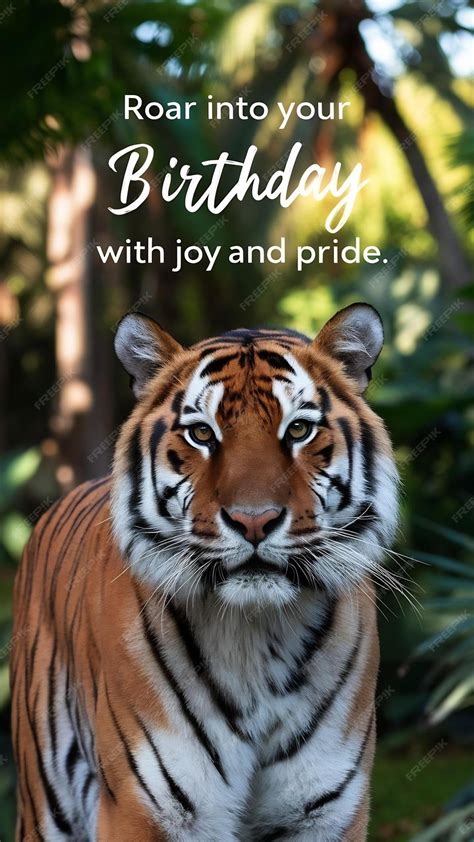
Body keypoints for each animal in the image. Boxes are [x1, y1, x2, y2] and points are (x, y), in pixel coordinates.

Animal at [11, 302, 399, 842]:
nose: (253, 520)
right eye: (202, 434)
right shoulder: (146, 809)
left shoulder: (324, 812)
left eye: (298, 431)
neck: (258, 638)